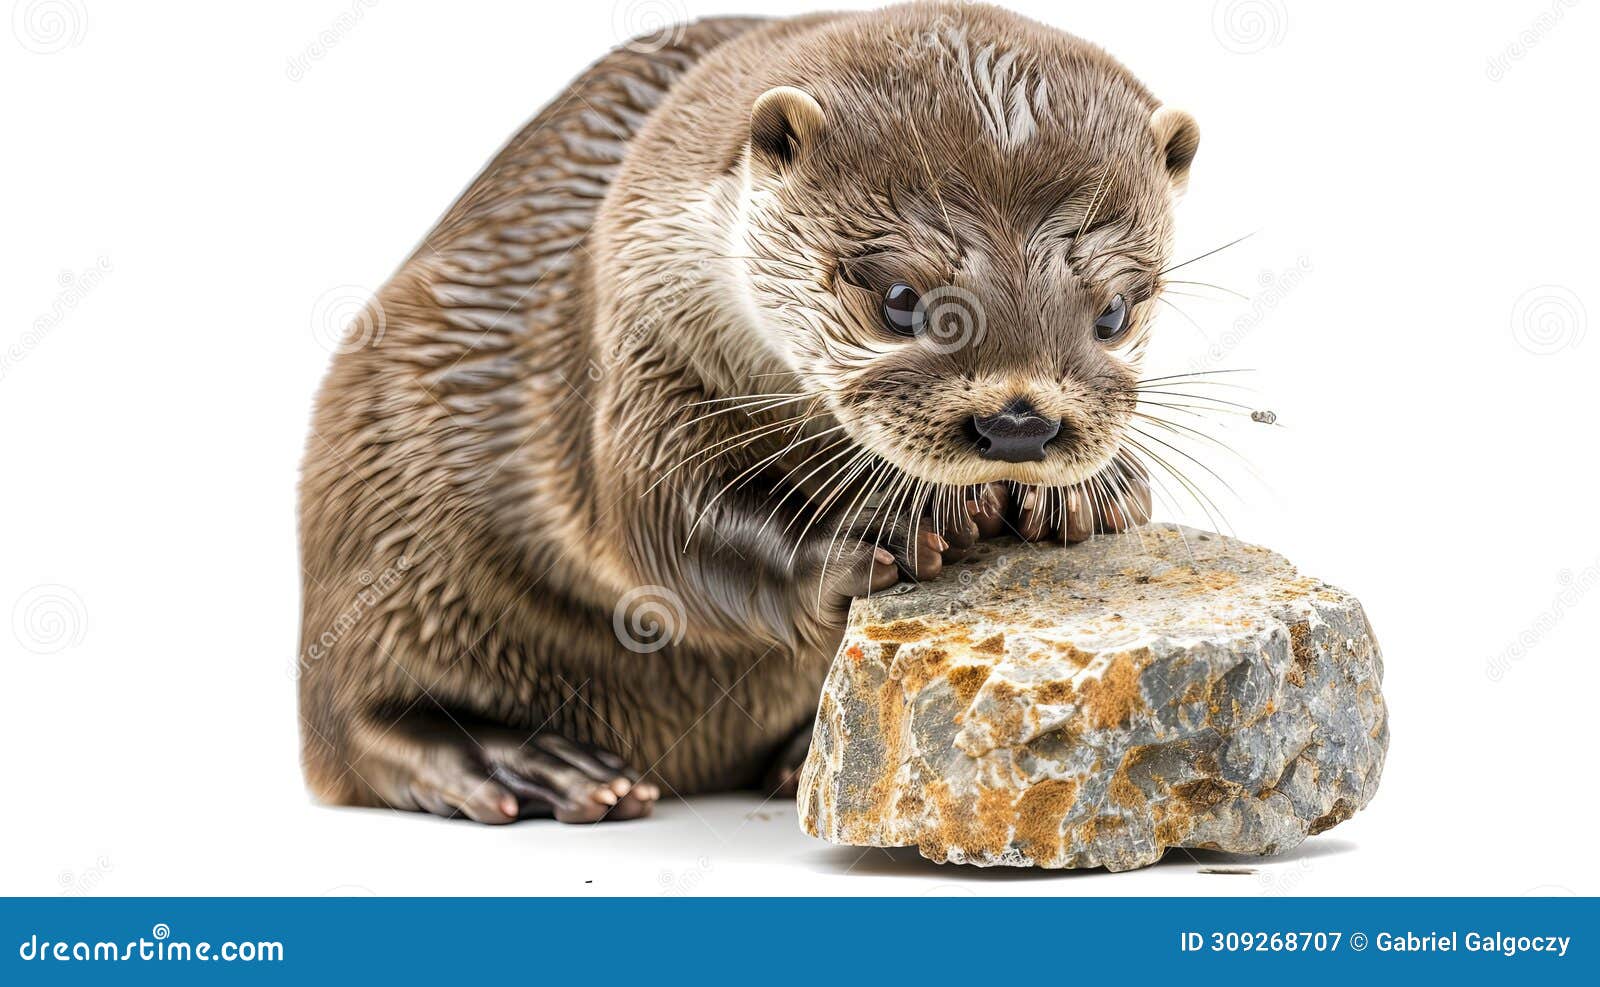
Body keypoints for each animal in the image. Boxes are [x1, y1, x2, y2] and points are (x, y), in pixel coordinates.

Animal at [298, 2, 1197, 824]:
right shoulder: (630, 352)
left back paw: (797, 753)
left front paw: (1093, 493)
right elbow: (661, 529)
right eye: (901, 300)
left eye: (1115, 311)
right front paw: (867, 539)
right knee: (351, 724)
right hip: (379, 494)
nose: (1018, 423)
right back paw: (523, 764)